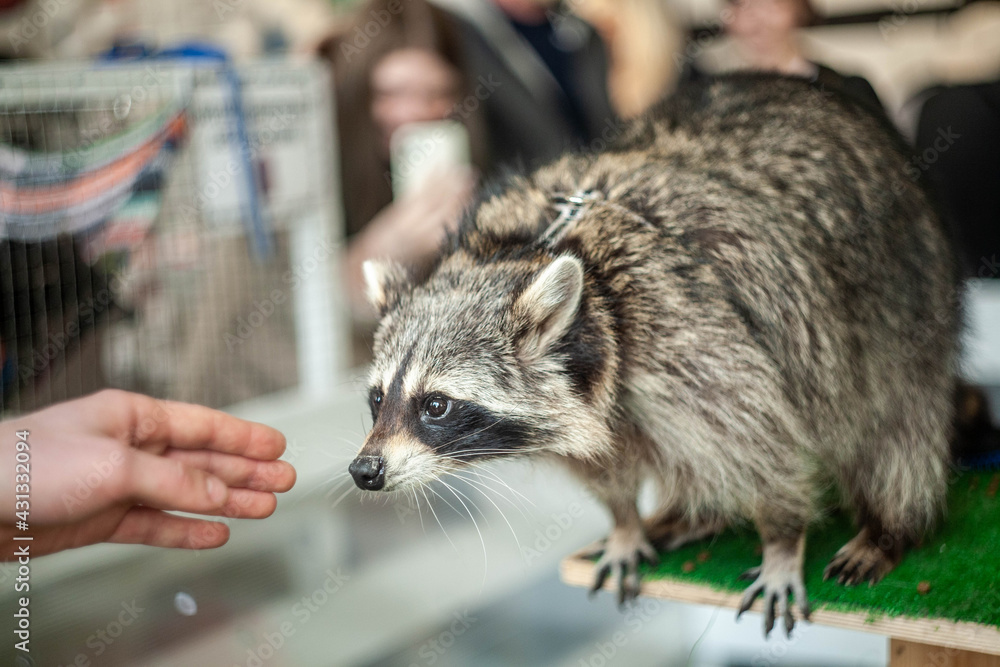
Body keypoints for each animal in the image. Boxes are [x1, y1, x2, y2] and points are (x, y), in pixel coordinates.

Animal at [349, 73, 960, 636]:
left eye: (436, 405)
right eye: (378, 398)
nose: (364, 470)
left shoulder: (687, 330)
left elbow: (760, 444)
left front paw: (783, 539)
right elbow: (605, 464)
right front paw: (625, 523)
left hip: (903, 296)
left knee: (896, 424)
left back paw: (889, 524)